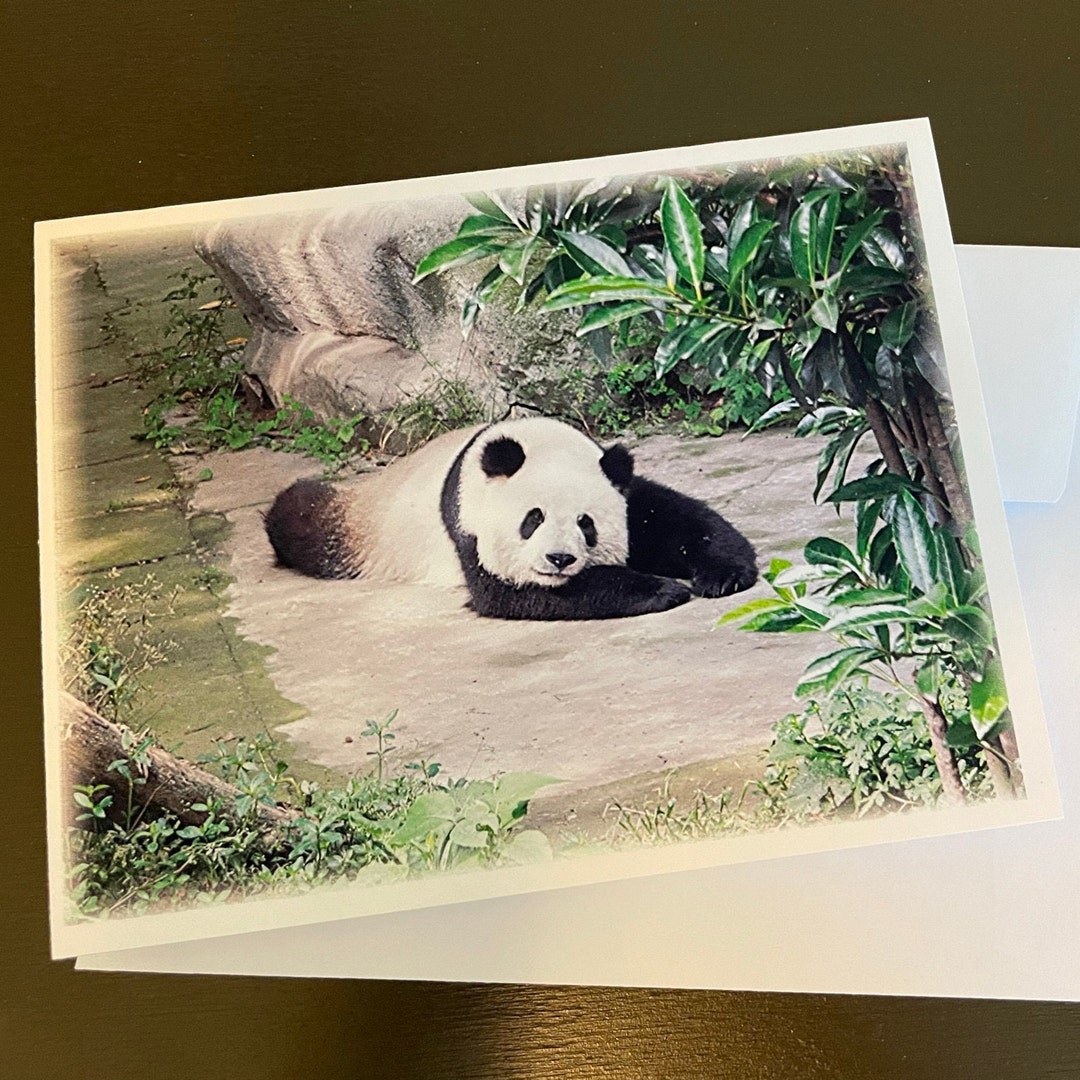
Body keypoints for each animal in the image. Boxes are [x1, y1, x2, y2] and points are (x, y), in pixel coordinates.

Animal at [264, 416, 758, 620]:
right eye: (532, 519)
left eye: (587, 524)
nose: (559, 560)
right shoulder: (466, 521)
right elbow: (513, 592)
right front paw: (661, 588)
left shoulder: (621, 487)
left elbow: (675, 520)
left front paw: (723, 575)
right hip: (361, 528)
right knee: (301, 516)